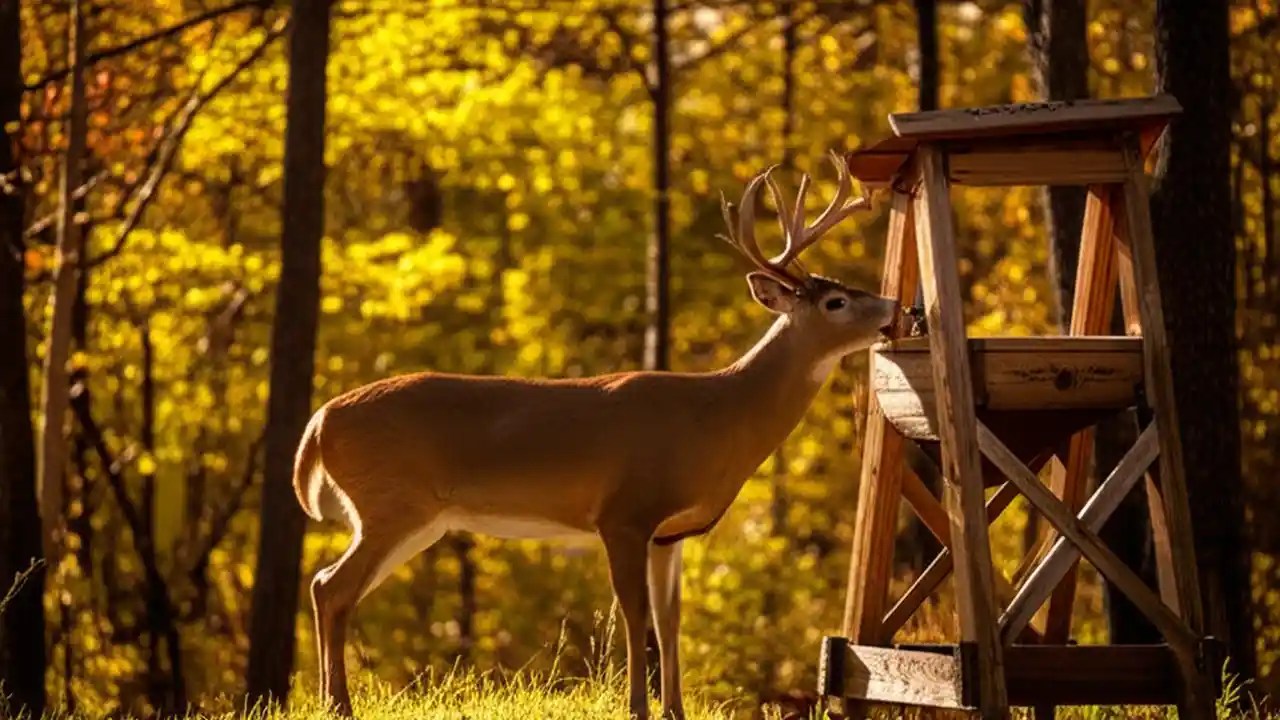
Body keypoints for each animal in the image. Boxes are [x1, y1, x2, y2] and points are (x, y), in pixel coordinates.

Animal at [293, 151, 900, 719]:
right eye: (836, 301)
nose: (895, 307)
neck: (718, 416)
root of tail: (319, 422)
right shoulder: (623, 513)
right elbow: (634, 613)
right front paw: (636, 707)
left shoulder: (671, 534)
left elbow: (670, 620)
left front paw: (674, 710)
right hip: (392, 502)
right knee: (334, 586)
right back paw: (339, 705)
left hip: (418, 518)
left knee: (326, 584)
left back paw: (331, 700)